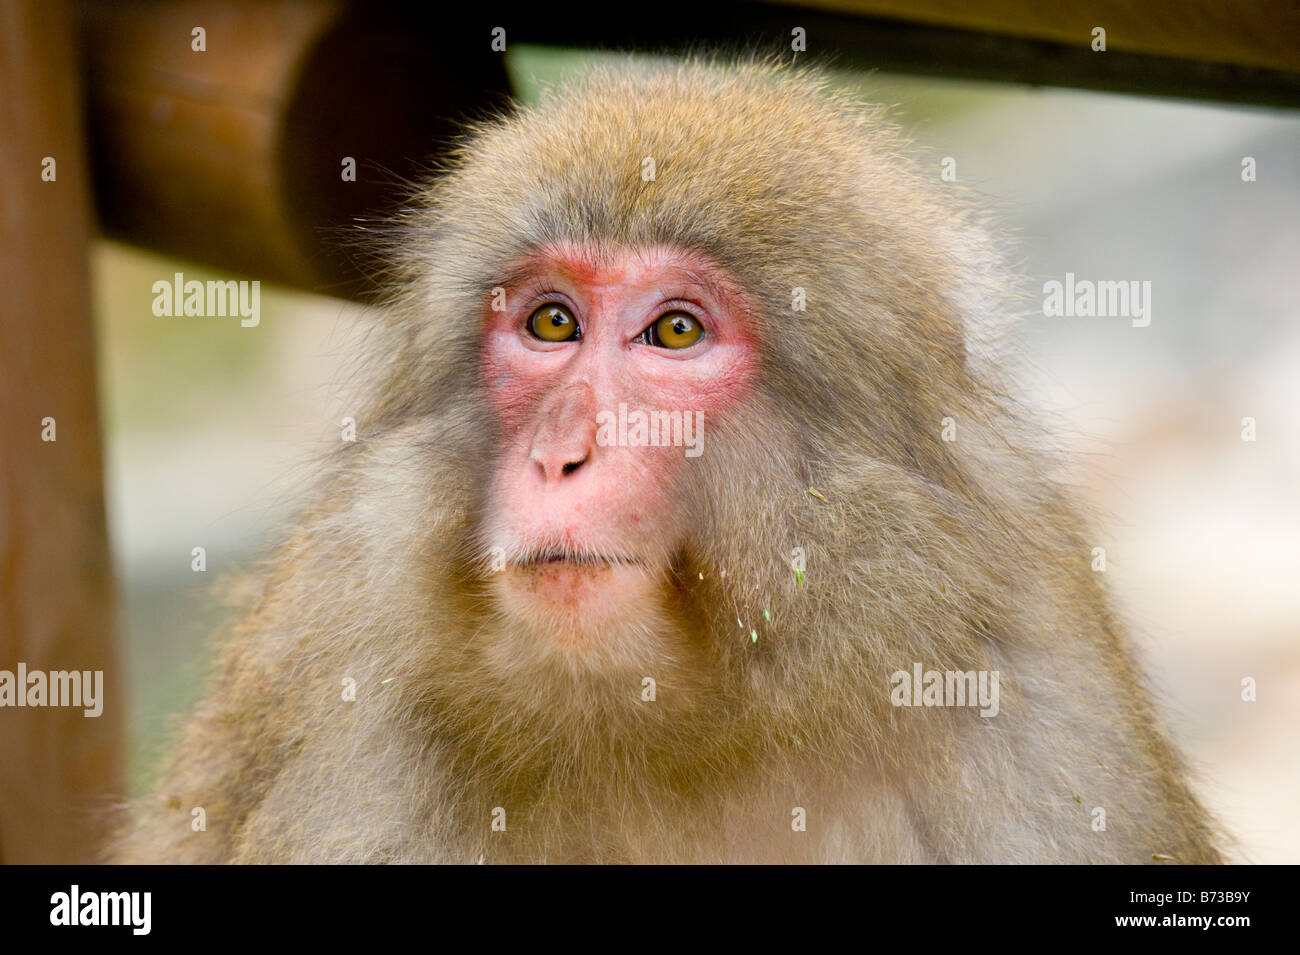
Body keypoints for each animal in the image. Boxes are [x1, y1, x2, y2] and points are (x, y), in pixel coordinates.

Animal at [114, 56, 1222, 864]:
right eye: (551, 322)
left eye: (676, 332)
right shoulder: (358, 724)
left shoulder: (1035, 725)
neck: (671, 726)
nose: (561, 454)